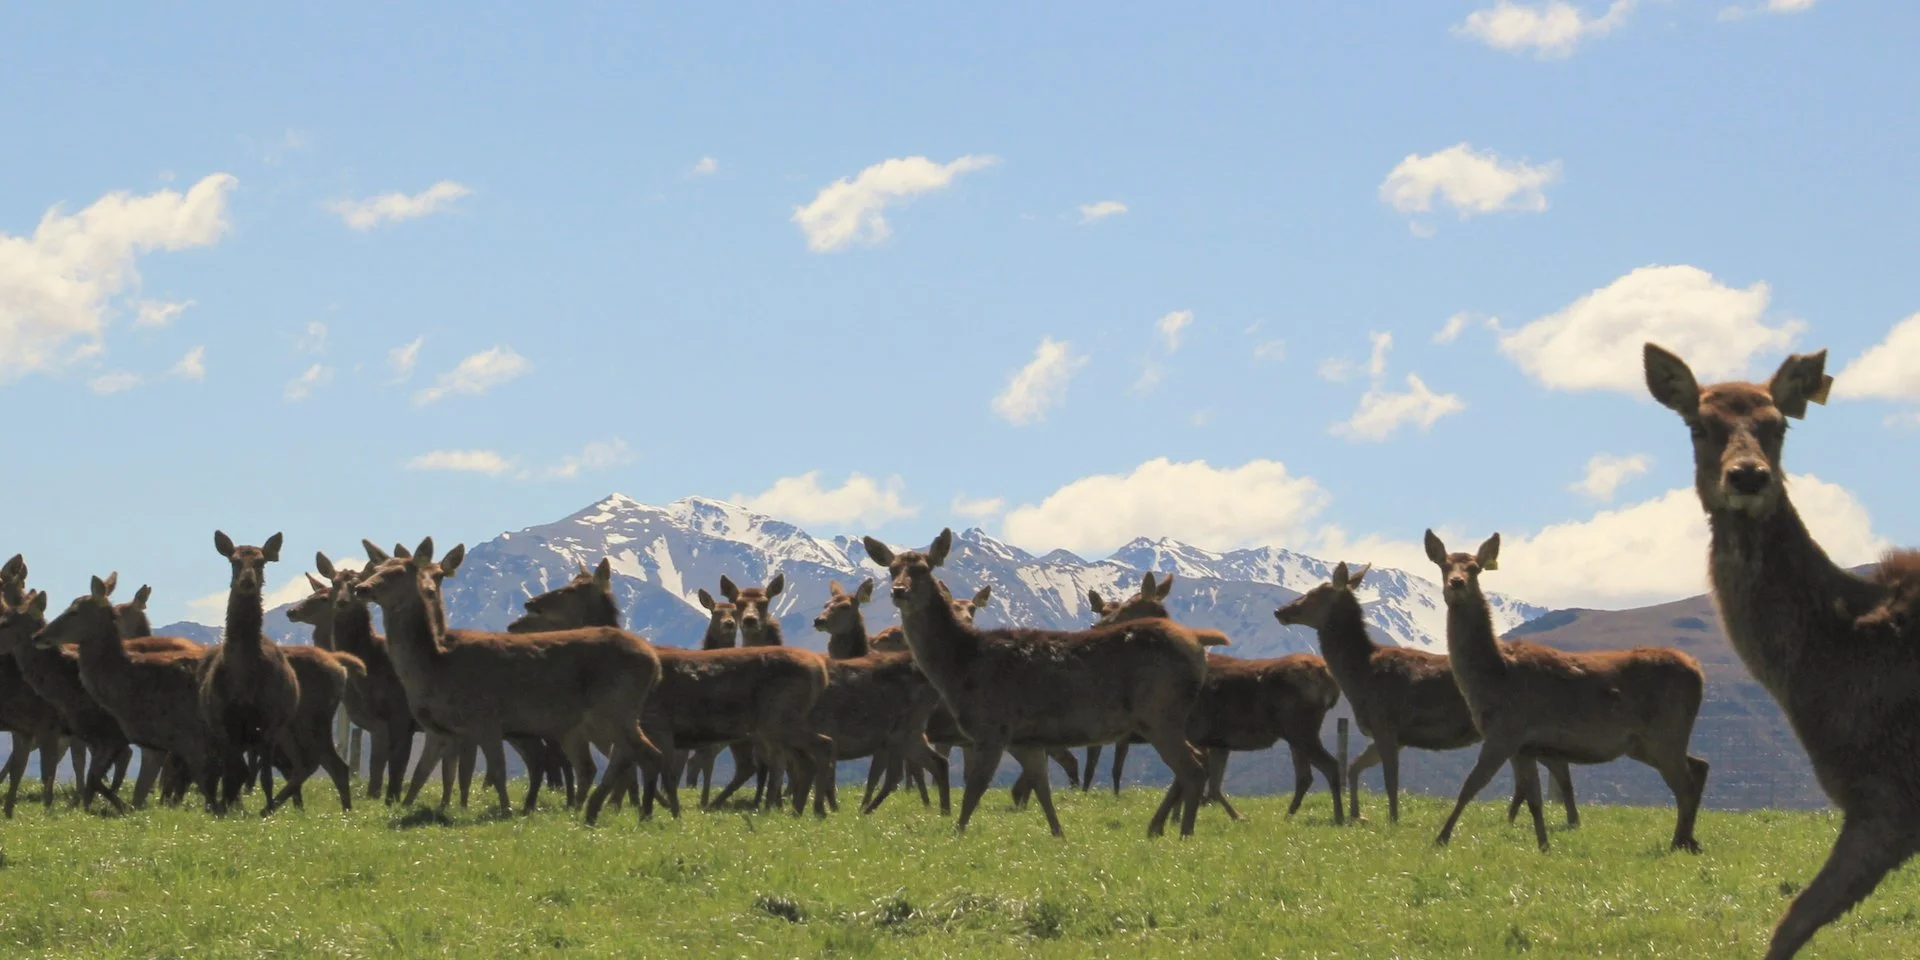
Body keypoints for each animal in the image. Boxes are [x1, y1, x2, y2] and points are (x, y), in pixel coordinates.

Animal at [353, 537, 668, 823]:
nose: (361, 588)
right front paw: (403, 808)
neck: (435, 666)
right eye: (376, 568)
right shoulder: (439, 729)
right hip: (595, 720)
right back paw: (595, 810)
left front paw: (505, 811)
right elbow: (421, 773)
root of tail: (654, 662)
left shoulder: (487, 718)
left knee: (645, 755)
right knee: (618, 759)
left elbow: (498, 771)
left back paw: (643, 813)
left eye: (398, 572)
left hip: (614, 708)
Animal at [505, 558, 837, 818]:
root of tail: (818, 670)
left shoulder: (655, 723)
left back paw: (816, 808)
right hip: (775, 724)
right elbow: (631, 771)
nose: (529, 604)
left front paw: (663, 812)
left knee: (820, 746)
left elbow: (655, 774)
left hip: (780, 717)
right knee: (803, 758)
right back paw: (799, 809)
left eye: (571, 589)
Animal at [866, 529, 1211, 837]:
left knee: (1192, 767)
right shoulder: (1026, 739)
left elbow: (975, 788)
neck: (960, 666)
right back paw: (1163, 828)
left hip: (1159, 712)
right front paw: (1059, 834)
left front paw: (958, 834)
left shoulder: (993, 726)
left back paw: (1183, 833)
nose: (899, 590)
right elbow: (1041, 789)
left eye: (923, 569)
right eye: (892, 569)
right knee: (1194, 762)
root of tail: (1198, 650)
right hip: (1165, 716)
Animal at [1275, 562, 1580, 830]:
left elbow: (1390, 779)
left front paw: (1392, 820)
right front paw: (1357, 816)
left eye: (1314, 594)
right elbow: (1353, 767)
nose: (1280, 610)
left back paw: (1564, 819)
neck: (1360, 676)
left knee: (1556, 765)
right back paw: (1542, 820)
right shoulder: (1392, 734)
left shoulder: (1386, 724)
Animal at [1424, 530, 1708, 852]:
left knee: (1685, 783)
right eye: (1444, 565)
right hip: (1647, 743)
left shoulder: (1505, 731)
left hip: (1665, 732)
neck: (1491, 679)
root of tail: (1698, 671)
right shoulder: (1525, 746)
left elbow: (1471, 785)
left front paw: (1441, 838)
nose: (1456, 583)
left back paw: (1678, 842)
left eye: (1474, 568)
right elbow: (1533, 799)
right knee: (1699, 766)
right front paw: (1544, 846)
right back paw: (1688, 840)